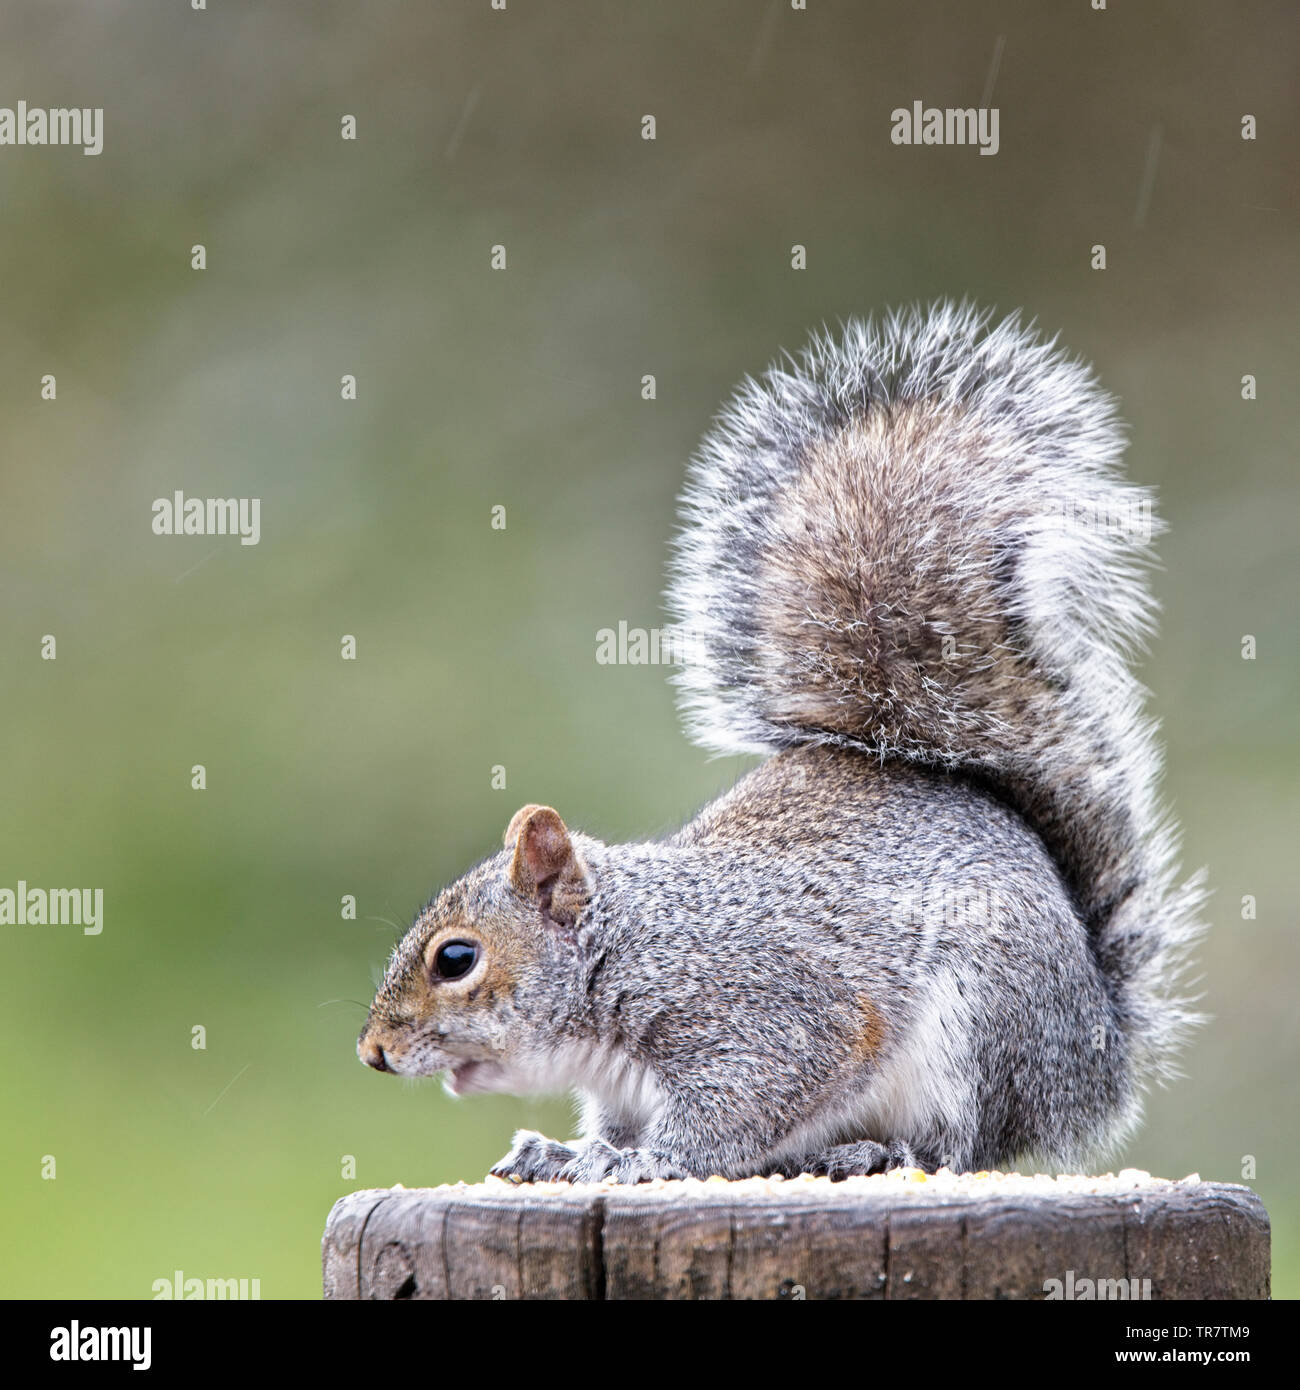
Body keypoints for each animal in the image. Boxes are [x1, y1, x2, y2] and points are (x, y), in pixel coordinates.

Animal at [358, 302, 1206, 1182]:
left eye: (456, 959)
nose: (372, 1052)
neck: (627, 947)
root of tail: (1096, 1056)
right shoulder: (625, 1088)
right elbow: (615, 1127)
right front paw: (561, 1153)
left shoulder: (769, 1013)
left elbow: (734, 1110)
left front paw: (642, 1165)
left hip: (984, 1024)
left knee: (961, 1144)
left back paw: (873, 1150)